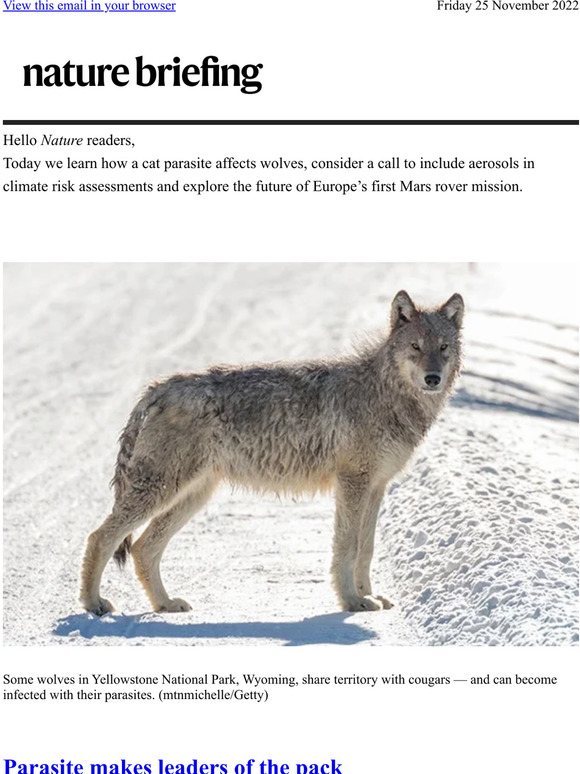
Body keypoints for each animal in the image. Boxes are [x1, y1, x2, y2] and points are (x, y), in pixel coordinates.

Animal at [80, 289, 464, 616]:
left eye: (443, 347)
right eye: (415, 347)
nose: (432, 378)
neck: (385, 394)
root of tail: (155, 389)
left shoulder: (376, 487)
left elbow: (366, 550)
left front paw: (368, 596)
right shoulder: (352, 483)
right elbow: (347, 548)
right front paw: (352, 602)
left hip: (191, 496)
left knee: (143, 548)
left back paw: (165, 604)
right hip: (161, 492)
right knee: (100, 537)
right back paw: (93, 604)